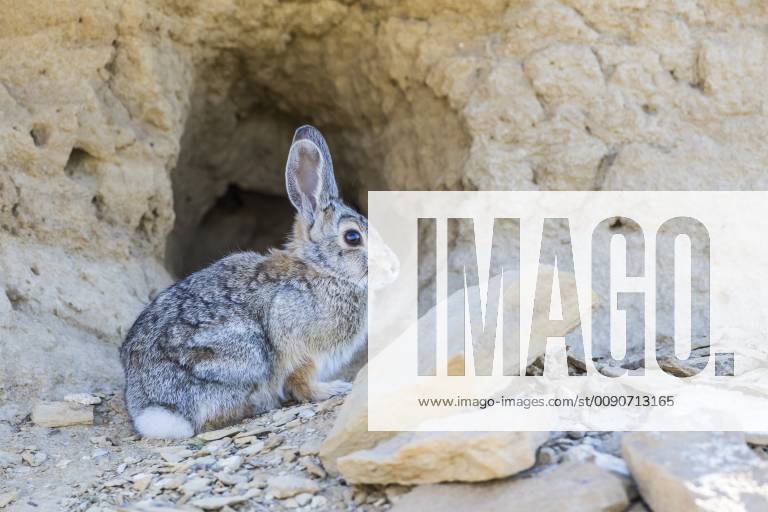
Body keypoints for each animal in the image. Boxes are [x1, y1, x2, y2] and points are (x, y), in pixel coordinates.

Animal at [119, 125, 399, 439]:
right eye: (352, 237)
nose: (394, 268)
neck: (322, 271)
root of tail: (155, 408)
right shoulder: (296, 343)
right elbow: (301, 380)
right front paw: (331, 389)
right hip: (244, 352)